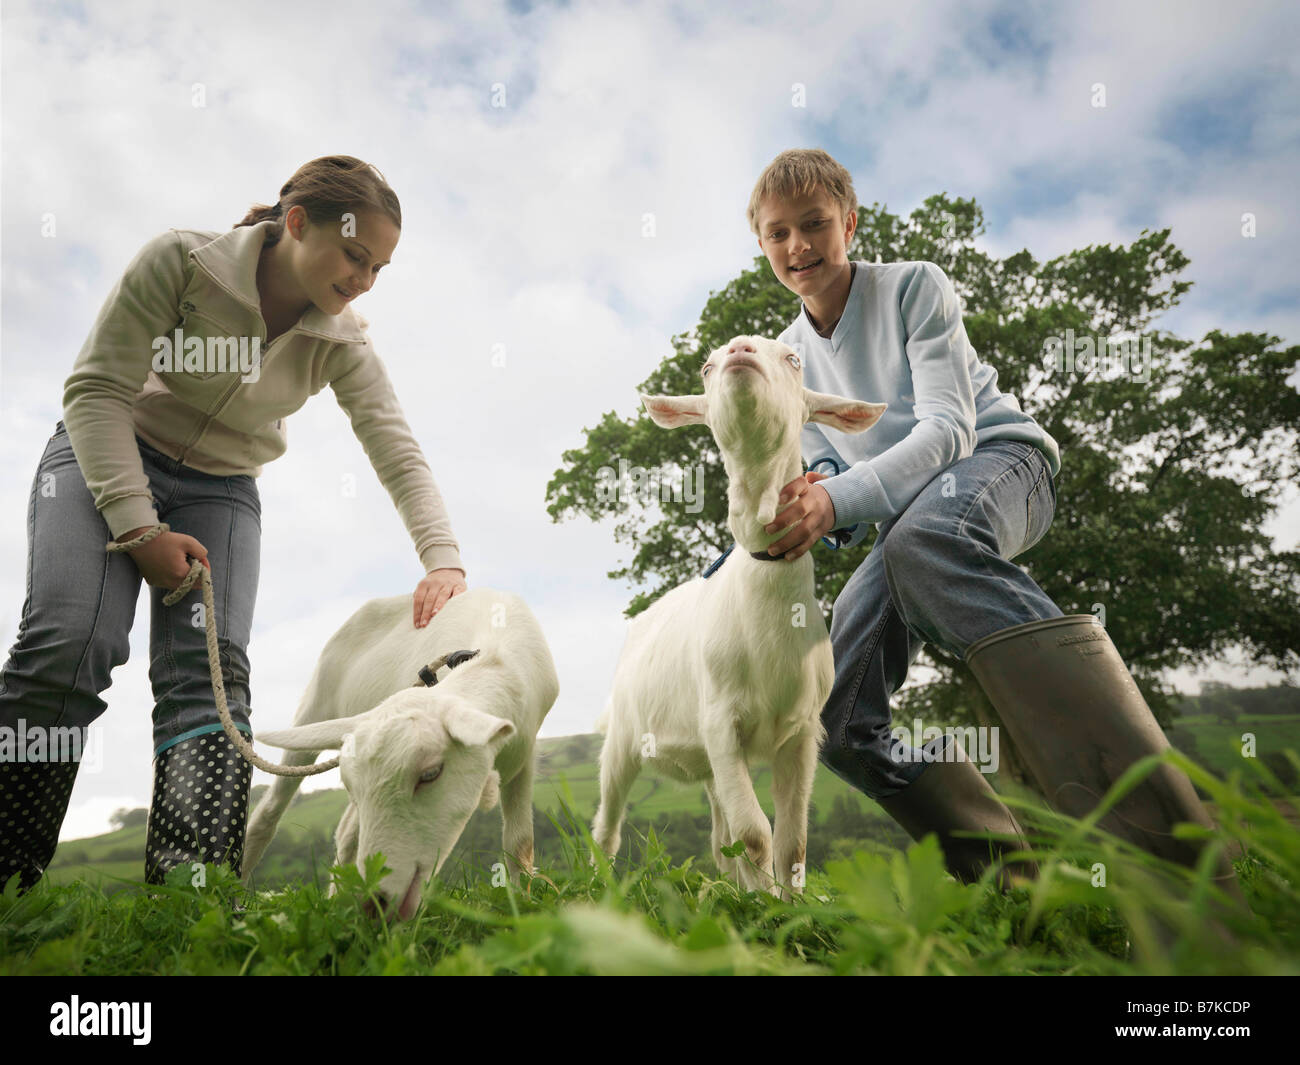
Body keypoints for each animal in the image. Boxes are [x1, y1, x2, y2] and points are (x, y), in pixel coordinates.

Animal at [243, 586, 559, 920]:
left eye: (430, 773)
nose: (375, 904)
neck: (491, 655)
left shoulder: (524, 756)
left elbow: (519, 842)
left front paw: (522, 904)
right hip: (315, 706)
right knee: (270, 812)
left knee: (347, 833)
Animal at [591, 335, 885, 897]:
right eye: (706, 367)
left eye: (793, 359)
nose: (739, 350)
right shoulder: (721, 722)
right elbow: (755, 835)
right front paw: (766, 902)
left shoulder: (801, 733)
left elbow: (792, 841)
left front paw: (789, 903)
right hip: (622, 740)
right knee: (608, 828)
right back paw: (597, 887)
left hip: (708, 763)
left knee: (717, 836)